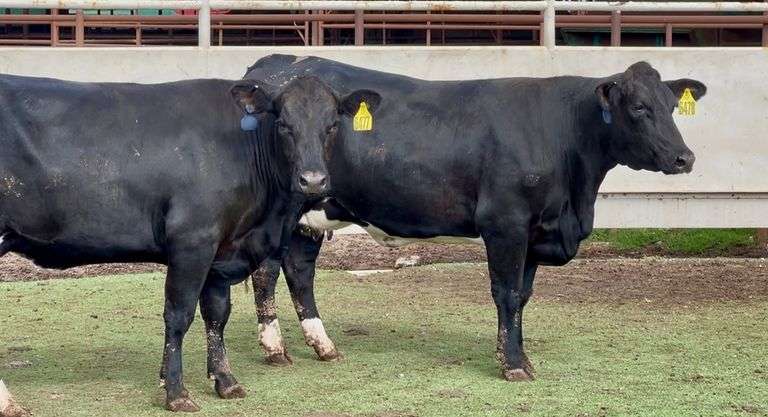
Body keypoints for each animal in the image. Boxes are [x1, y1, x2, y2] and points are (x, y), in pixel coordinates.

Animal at [0, 73, 380, 411]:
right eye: (284, 124)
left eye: (332, 125)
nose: (312, 180)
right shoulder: (193, 241)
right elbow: (179, 315)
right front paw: (176, 392)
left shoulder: (221, 250)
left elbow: (217, 315)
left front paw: (225, 381)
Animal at [244, 55, 706, 381]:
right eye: (639, 107)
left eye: (671, 106)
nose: (684, 158)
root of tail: (277, 64)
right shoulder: (506, 223)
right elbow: (506, 293)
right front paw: (513, 365)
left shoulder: (534, 232)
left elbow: (522, 296)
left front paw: (516, 355)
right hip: (284, 209)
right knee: (266, 273)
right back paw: (275, 350)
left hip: (312, 211)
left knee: (299, 271)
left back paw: (323, 346)